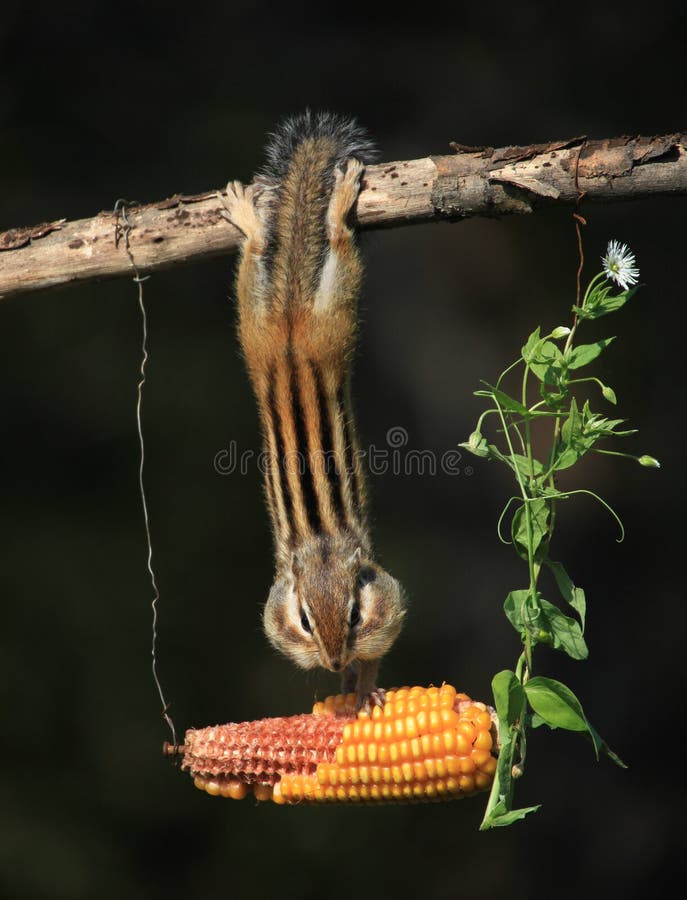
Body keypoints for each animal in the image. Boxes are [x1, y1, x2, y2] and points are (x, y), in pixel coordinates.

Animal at [222, 111, 405, 709]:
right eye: (303, 618)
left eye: (352, 614)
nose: (331, 662)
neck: (324, 548)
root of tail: (292, 333)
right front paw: (351, 686)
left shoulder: (387, 606)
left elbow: (377, 651)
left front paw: (363, 689)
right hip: (261, 328)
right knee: (261, 266)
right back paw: (255, 223)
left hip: (329, 318)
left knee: (336, 247)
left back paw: (331, 208)